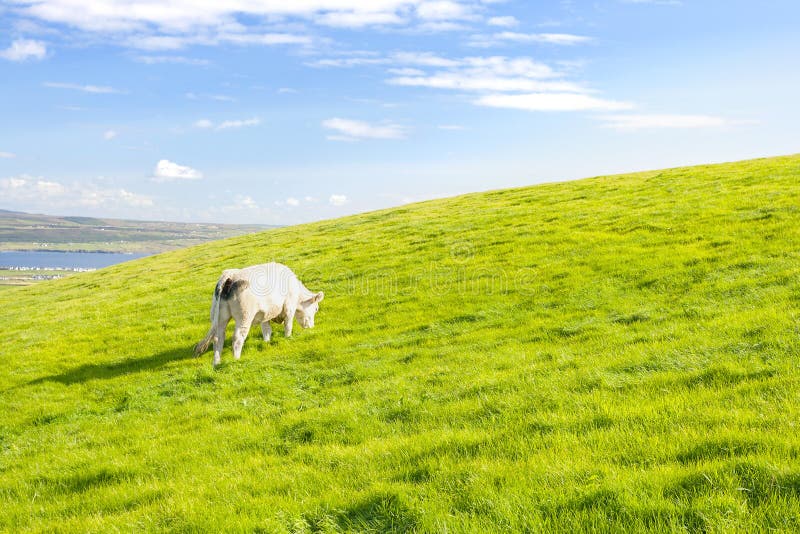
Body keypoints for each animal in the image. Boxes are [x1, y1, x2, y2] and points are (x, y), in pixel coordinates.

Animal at [194, 262, 324, 366]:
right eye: (316, 308)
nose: (311, 327)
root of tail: (231, 275)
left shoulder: (265, 314)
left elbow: (266, 329)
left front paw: (266, 342)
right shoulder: (289, 307)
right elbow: (288, 325)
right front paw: (288, 338)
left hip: (220, 317)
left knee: (218, 338)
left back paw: (216, 363)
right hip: (244, 317)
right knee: (237, 338)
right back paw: (236, 359)